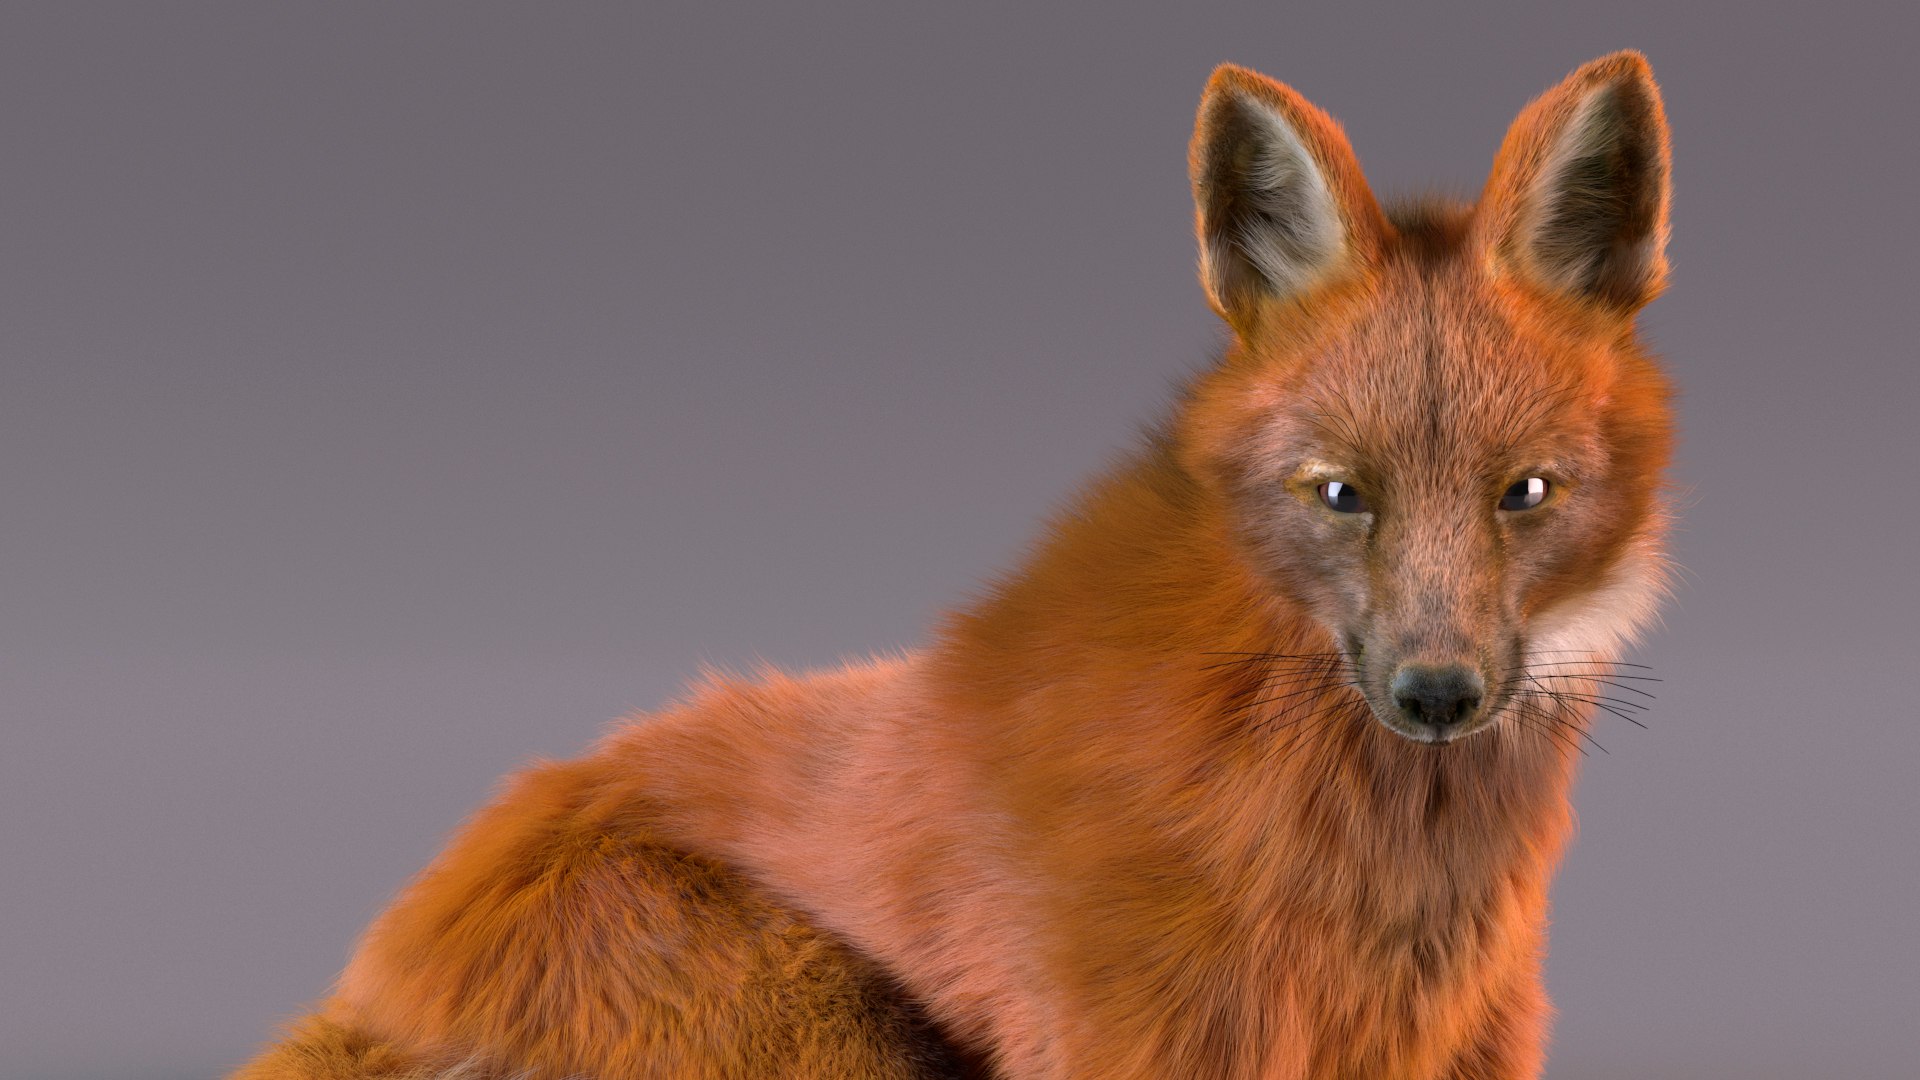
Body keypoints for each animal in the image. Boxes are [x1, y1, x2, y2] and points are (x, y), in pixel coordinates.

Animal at [237, 51, 1676, 1080]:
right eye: (1340, 496)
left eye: (1525, 494)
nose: (1437, 695)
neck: (1380, 892)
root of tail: (392, 945)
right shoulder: (1128, 1038)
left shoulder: (1474, 1046)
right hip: (831, 1034)